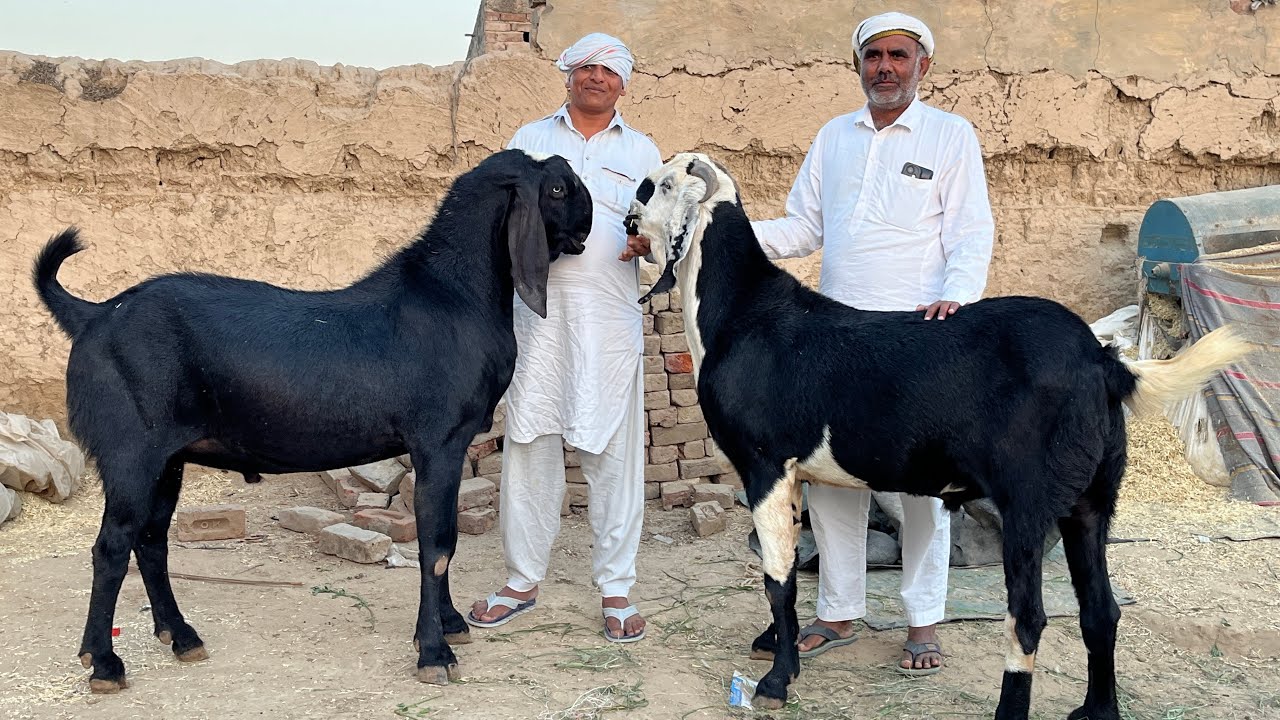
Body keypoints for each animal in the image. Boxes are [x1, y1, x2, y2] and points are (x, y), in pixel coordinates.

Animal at [31, 149, 593, 693]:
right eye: (557, 188)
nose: (592, 217)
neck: (452, 295)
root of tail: (93, 315)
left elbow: (445, 542)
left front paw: (450, 625)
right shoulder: (439, 441)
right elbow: (437, 545)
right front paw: (434, 652)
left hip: (167, 458)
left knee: (150, 540)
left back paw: (182, 636)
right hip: (131, 452)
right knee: (111, 547)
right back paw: (104, 664)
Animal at [626, 153, 1251, 720]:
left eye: (656, 184)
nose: (628, 222)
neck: (743, 310)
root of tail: (1103, 363)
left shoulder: (766, 466)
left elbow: (777, 577)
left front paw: (777, 681)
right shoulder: (795, 474)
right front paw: (778, 649)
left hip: (1029, 503)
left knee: (1028, 618)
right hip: (1091, 500)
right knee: (1101, 612)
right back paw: (1097, 711)